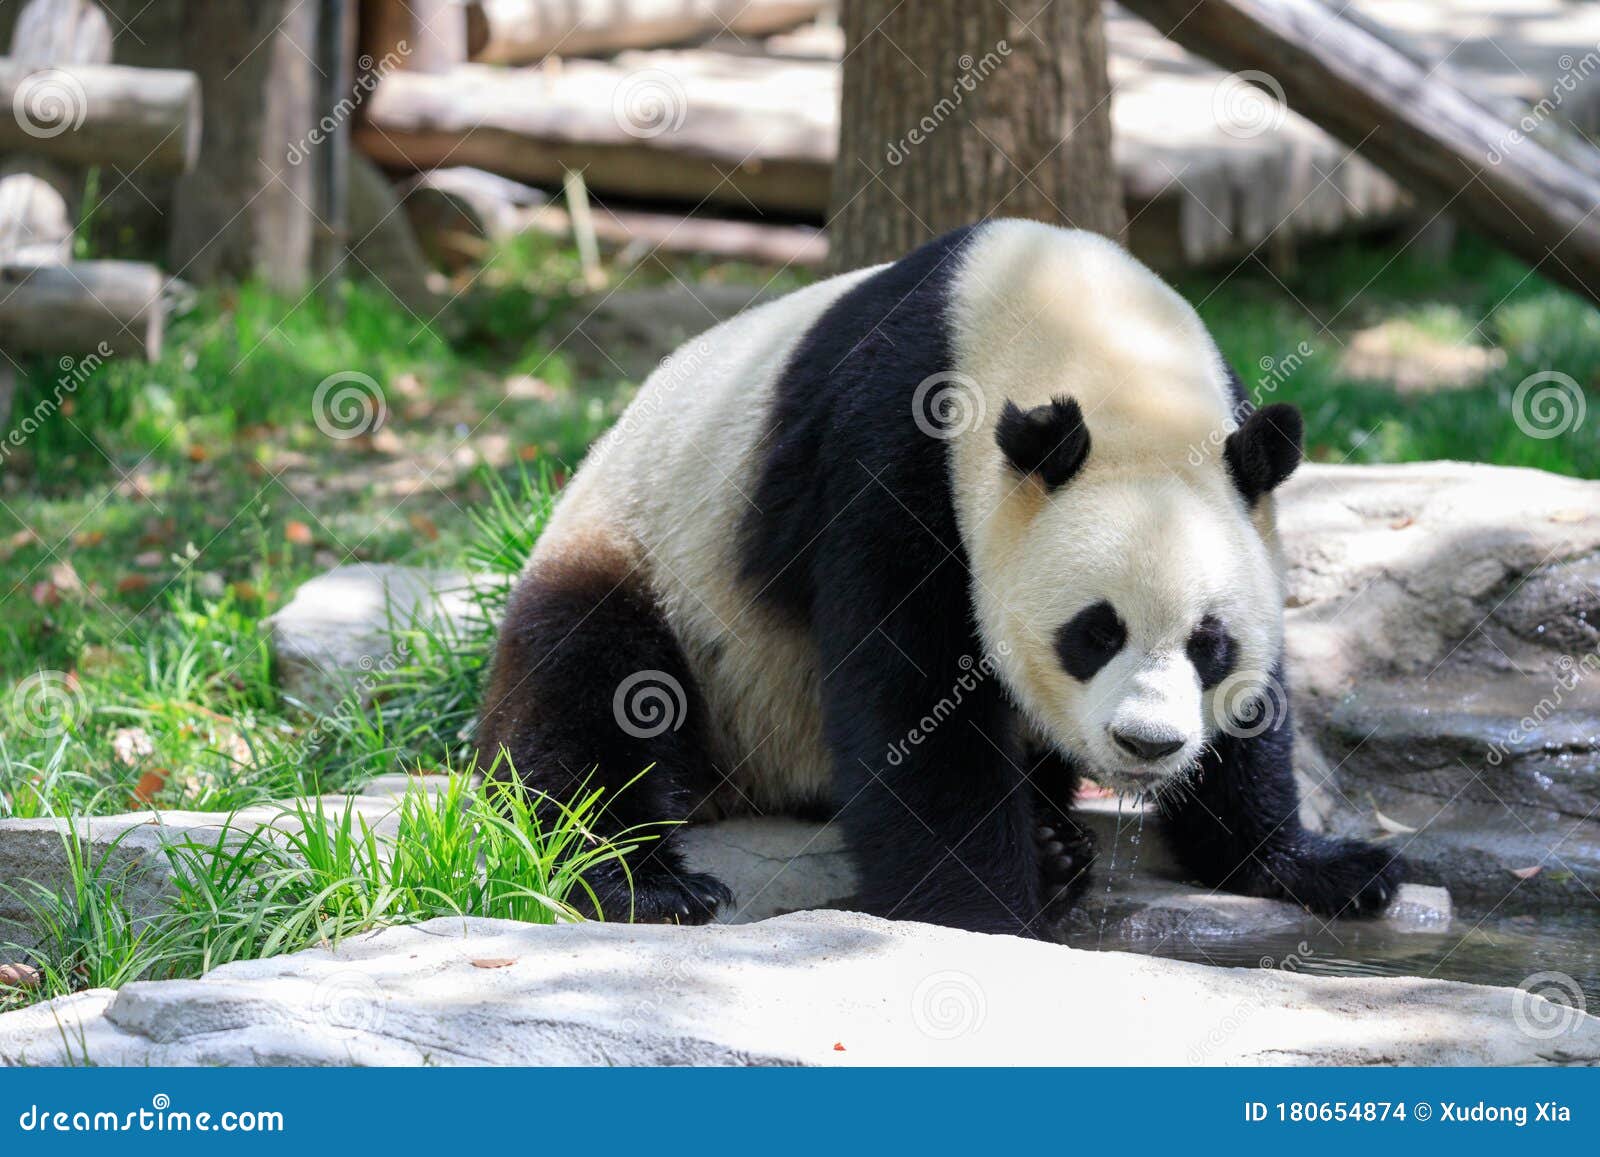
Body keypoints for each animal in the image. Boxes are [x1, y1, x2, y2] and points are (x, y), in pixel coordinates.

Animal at [476, 219, 1403, 936]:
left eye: (1210, 644)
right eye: (1095, 632)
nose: (1148, 745)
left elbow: (1255, 719)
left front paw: (1320, 865)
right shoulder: (892, 451)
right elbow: (911, 695)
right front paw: (985, 916)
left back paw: (1058, 846)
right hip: (649, 555)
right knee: (590, 692)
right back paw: (646, 883)